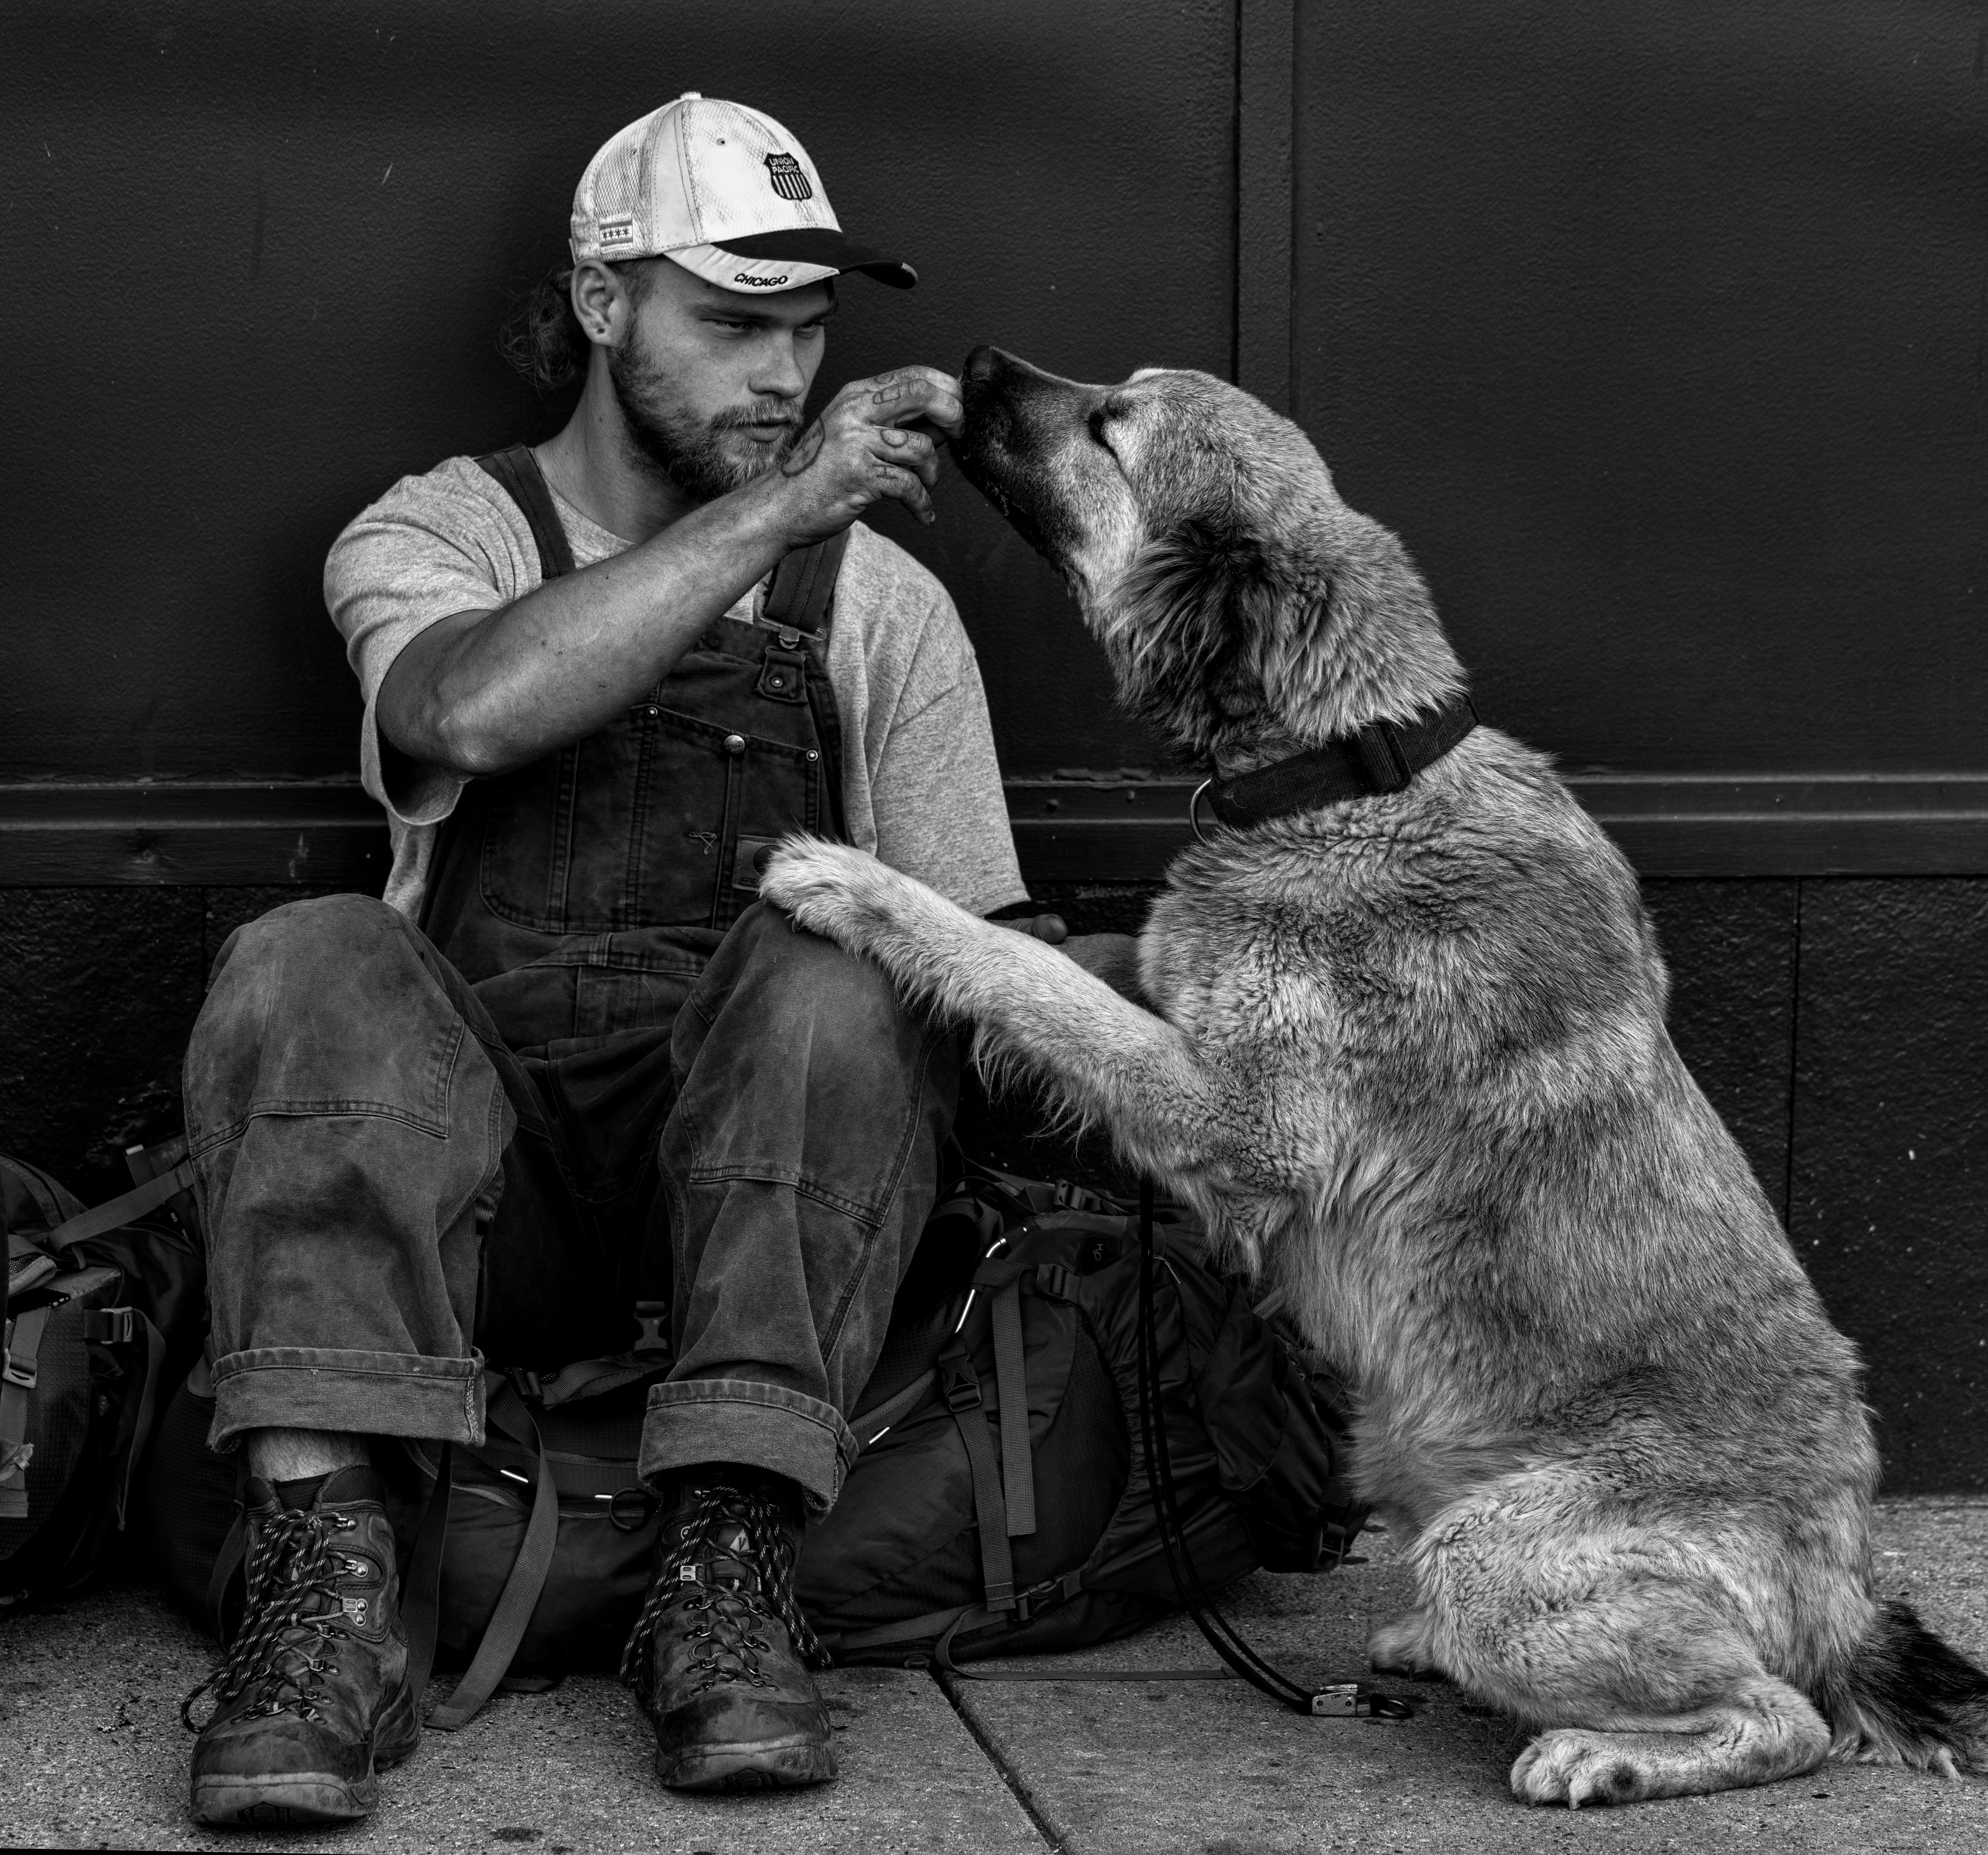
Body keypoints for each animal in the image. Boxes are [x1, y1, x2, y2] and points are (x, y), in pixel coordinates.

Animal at [755, 344, 1988, 1797]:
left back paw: (1598, 1752)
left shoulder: (1235, 1116)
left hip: (1491, 1554)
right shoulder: (1180, 993)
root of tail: (1839, 1597)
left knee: (1780, 1717)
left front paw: (855, 885)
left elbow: (1028, 975)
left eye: (1112, 427)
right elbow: (1069, 960)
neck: (1345, 767)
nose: (983, 364)